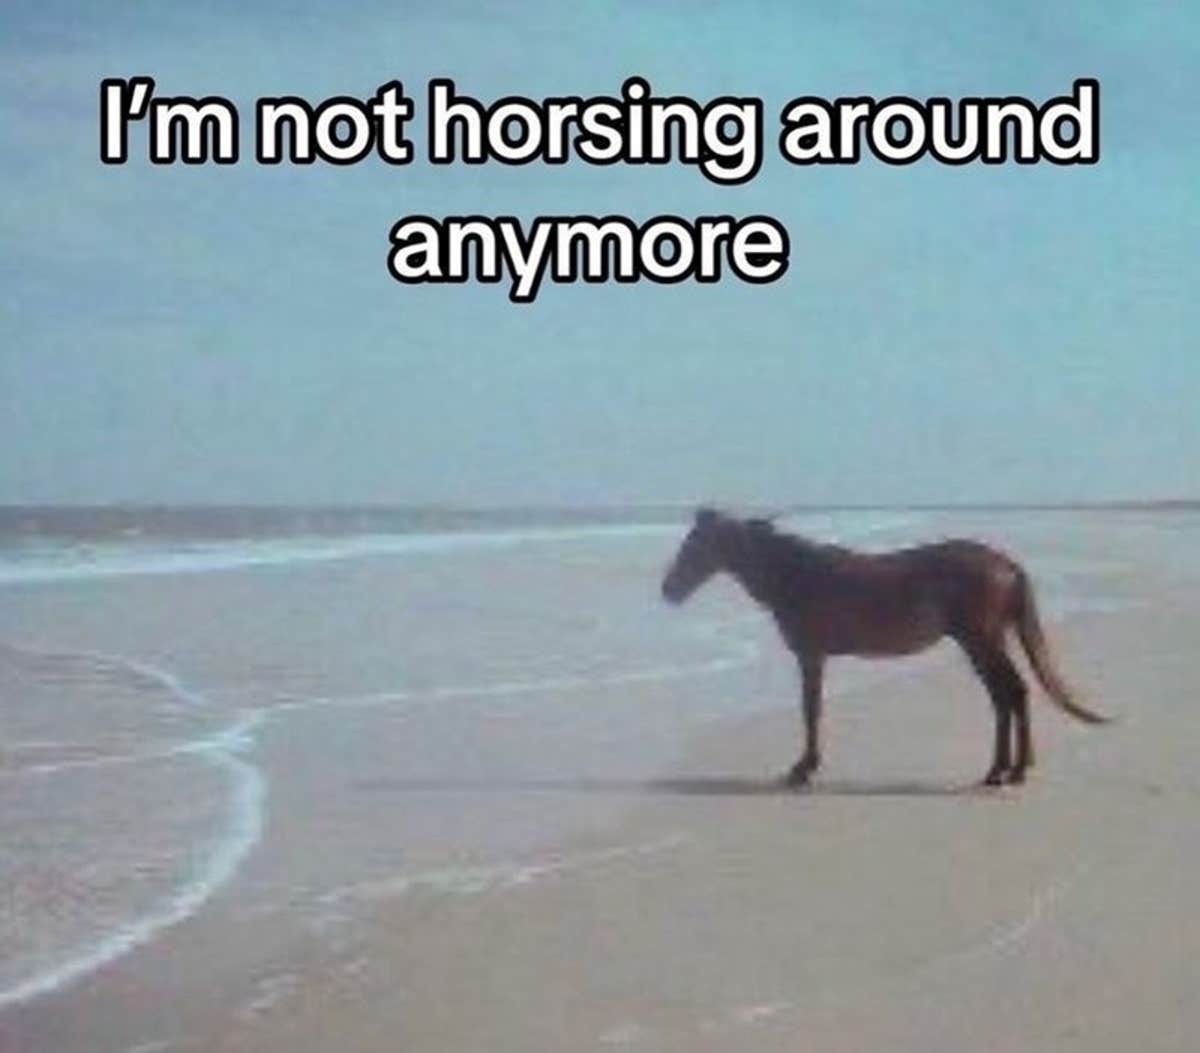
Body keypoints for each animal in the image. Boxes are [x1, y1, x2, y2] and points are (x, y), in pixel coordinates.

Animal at [661, 507, 1108, 787]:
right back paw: (1007, 769)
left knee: (1009, 693)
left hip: (980, 640)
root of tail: (1007, 565)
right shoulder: (814, 655)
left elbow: (810, 711)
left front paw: (803, 769)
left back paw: (1005, 772)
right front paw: (806, 766)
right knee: (1008, 695)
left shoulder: (810, 654)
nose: (668, 590)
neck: (797, 573)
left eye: (695, 545)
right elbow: (812, 711)